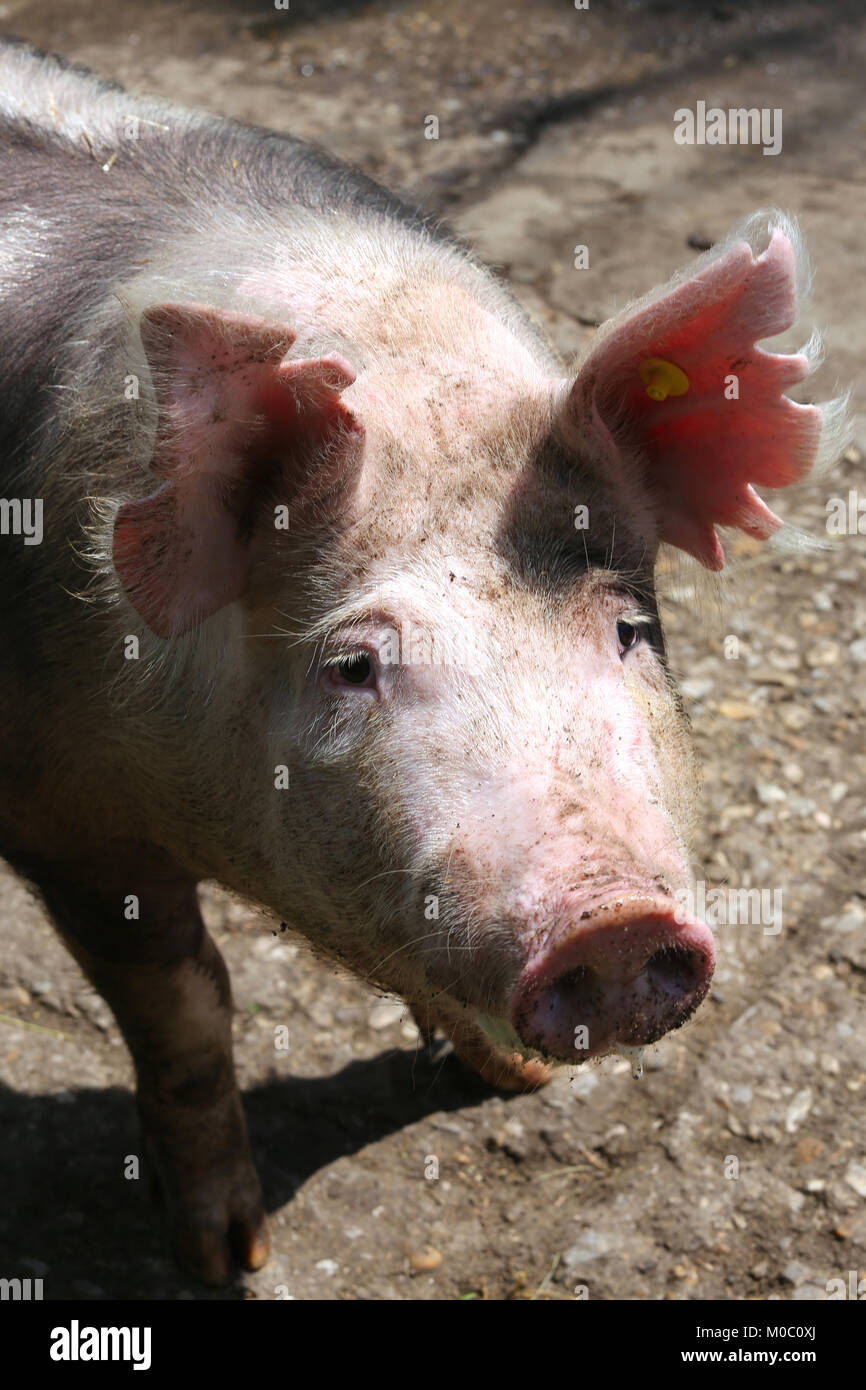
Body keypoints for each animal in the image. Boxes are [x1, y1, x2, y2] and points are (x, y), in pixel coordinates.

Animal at [0, 41, 845, 1283]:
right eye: (355, 665)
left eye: (627, 631)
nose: (611, 919)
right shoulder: (61, 812)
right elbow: (187, 1008)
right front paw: (229, 1256)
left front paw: (518, 1082)